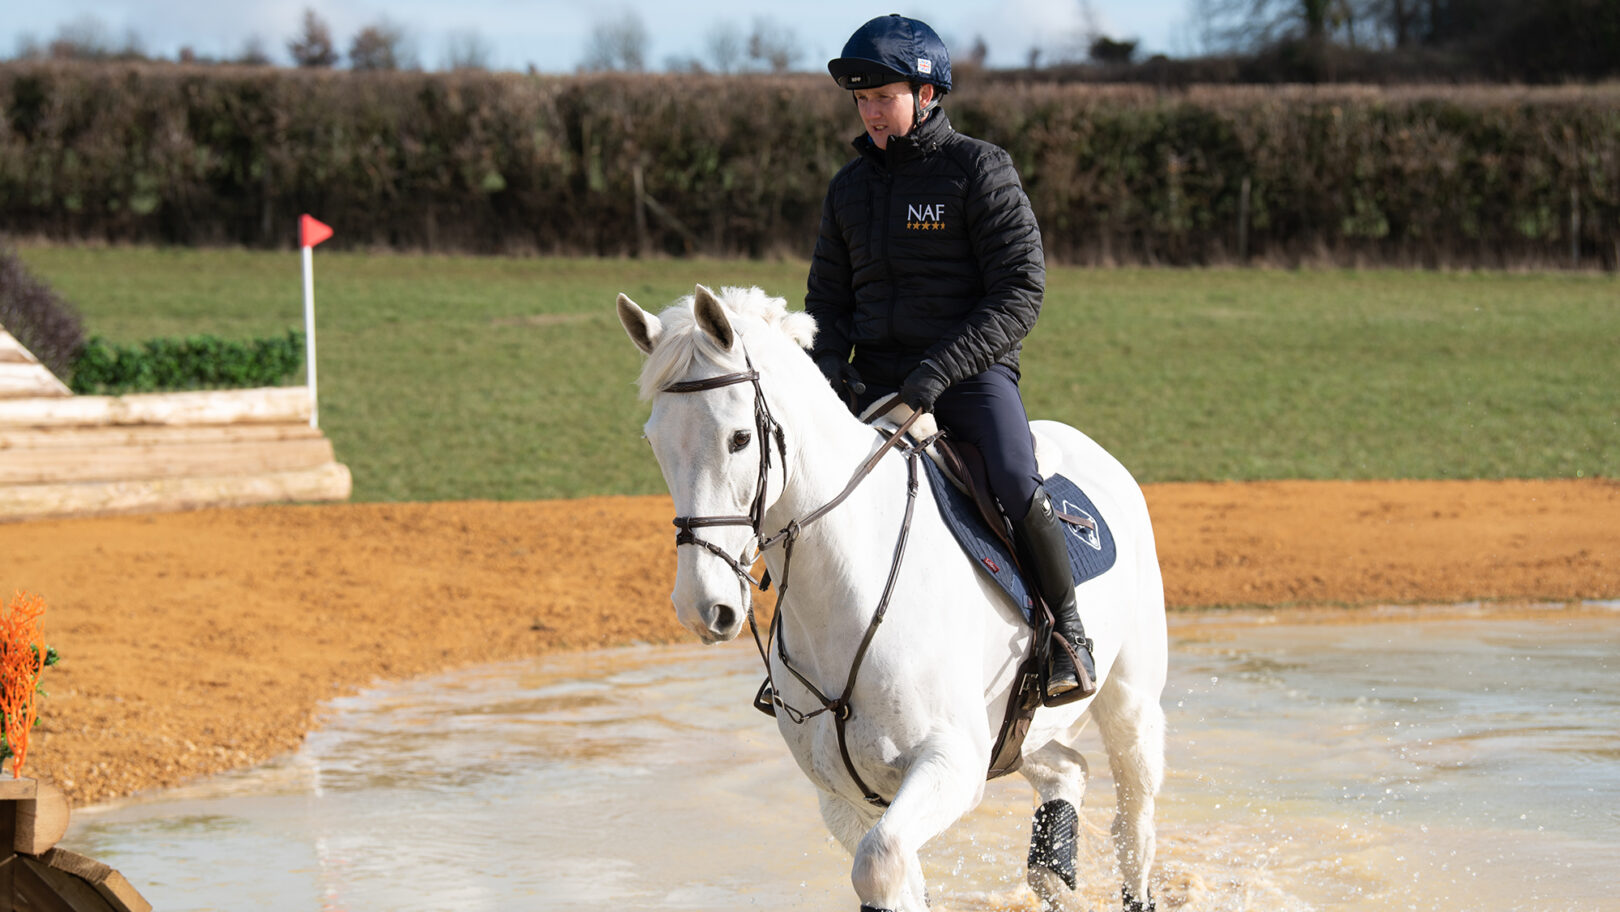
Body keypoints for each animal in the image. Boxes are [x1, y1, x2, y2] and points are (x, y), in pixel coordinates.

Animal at [617, 284, 1167, 912]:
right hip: (1012, 733)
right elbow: (894, 876)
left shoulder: (951, 762)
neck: (845, 592)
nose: (700, 605)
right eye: (655, 442)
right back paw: (1054, 876)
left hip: (1129, 702)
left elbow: (879, 863)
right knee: (1065, 772)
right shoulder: (844, 797)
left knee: (1134, 822)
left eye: (739, 438)